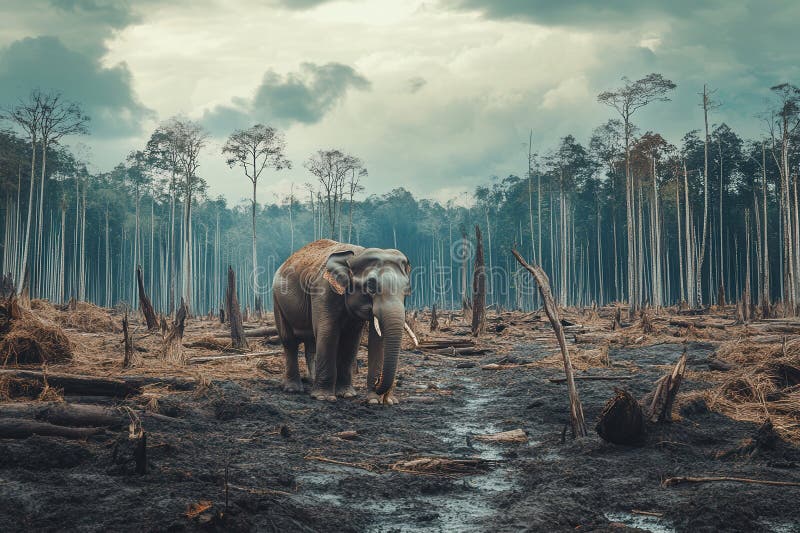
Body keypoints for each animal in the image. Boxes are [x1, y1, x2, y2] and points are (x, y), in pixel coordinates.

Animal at [272, 239, 413, 404]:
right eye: (371, 285)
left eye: (407, 289)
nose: (378, 384)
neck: (356, 255)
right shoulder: (323, 290)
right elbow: (328, 332)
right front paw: (324, 397)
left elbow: (357, 340)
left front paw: (359, 397)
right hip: (277, 302)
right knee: (289, 341)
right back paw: (293, 389)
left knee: (311, 343)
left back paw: (311, 382)